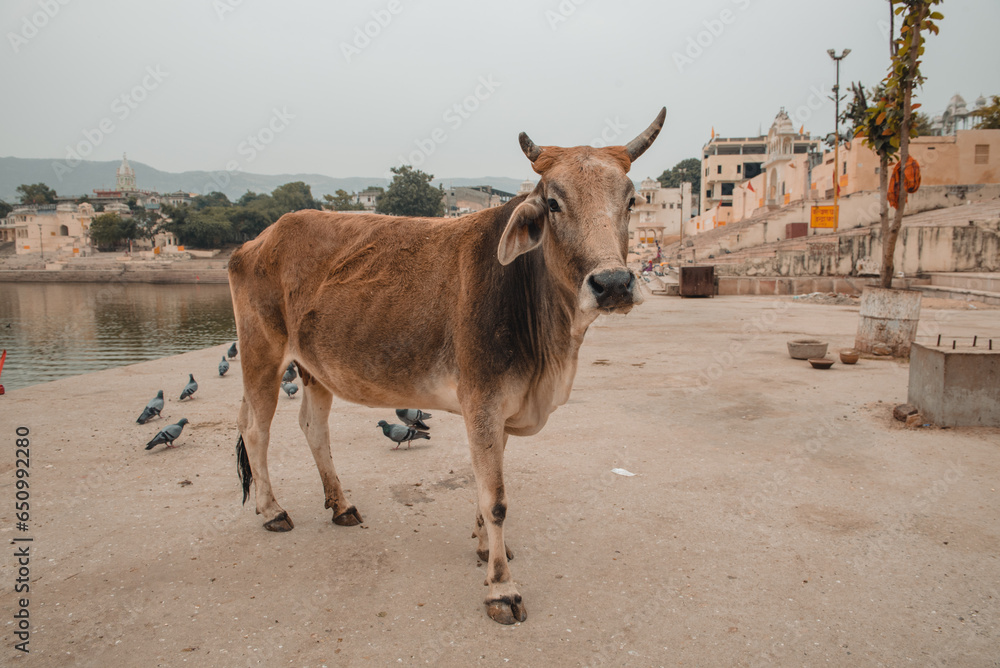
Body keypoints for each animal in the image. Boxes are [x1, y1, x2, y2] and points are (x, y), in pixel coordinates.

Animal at [228, 108, 666, 625]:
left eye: (632, 199)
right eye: (554, 203)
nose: (613, 283)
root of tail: (257, 240)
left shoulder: (497, 410)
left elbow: (483, 489)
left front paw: (485, 550)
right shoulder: (482, 401)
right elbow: (496, 500)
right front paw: (501, 589)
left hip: (314, 368)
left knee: (313, 428)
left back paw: (340, 505)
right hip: (261, 353)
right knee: (256, 430)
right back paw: (273, 510)